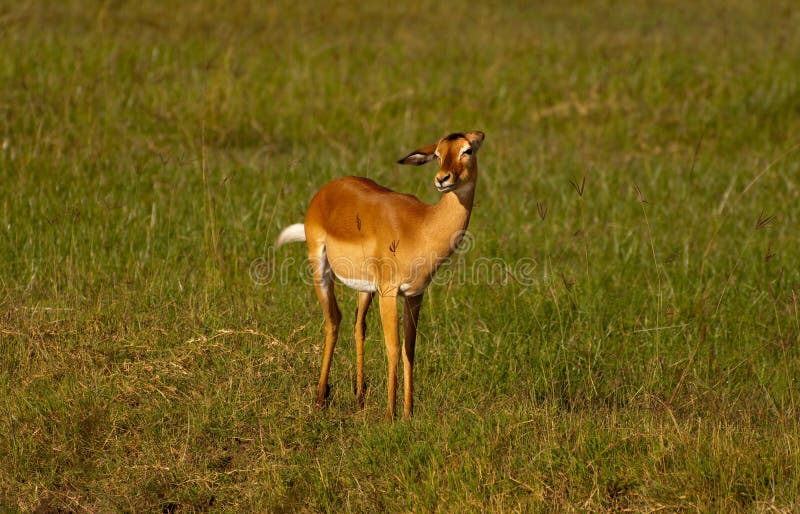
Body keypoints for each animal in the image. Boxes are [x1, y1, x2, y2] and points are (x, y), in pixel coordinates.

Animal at [276, 131, 485, 420]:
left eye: (468, 150)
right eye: (438, 154)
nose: (443, 179)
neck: (422, 226)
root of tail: (328, 189)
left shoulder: (415, 295)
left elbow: (410, 348)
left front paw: (408, 413)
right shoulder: (389, 293)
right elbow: (392, 348)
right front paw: (390, 415)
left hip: (366, 289)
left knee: (357, 325)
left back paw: (359, 398)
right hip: (321, 269)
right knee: (333, 320)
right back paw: (320, 398)